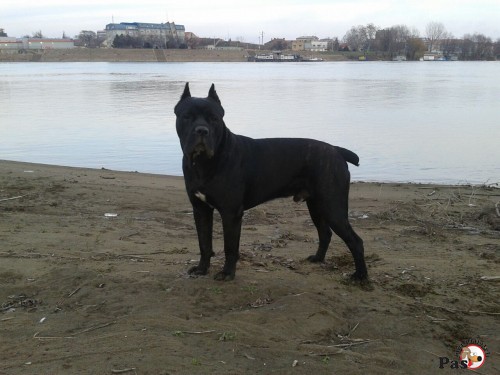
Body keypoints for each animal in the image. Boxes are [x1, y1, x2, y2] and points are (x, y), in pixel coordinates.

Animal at [176, 83, 368, 282]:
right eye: (187, 116)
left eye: (214, 118)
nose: (201, 130)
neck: (203, 162)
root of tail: (337, 151)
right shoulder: (200, 210)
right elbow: (204, 243)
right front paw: (201, 269)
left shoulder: (230, 213)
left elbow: (230, 247)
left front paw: (227, 273)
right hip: (316, 205)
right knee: (325, 233)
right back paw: (318, 258)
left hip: (332, 207)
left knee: (355, 241)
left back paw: (360, 276)